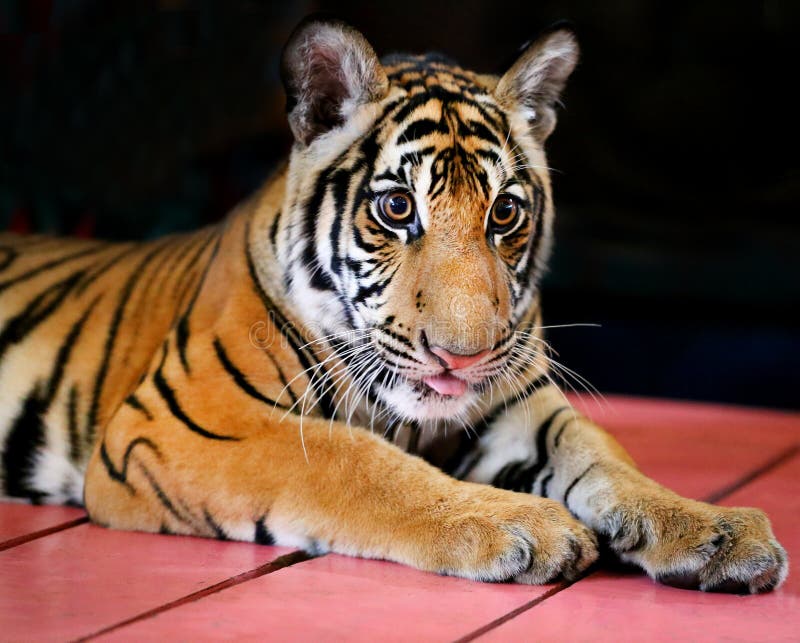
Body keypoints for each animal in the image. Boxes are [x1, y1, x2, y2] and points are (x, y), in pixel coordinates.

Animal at [0, 16, 787, 593]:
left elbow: (606, 457)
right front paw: (525, 524)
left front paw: (714, 530)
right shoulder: (194, 419)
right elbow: (359, 461)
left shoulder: (521, 407)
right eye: (396, 207)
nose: (463, 356)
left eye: (505, 213)